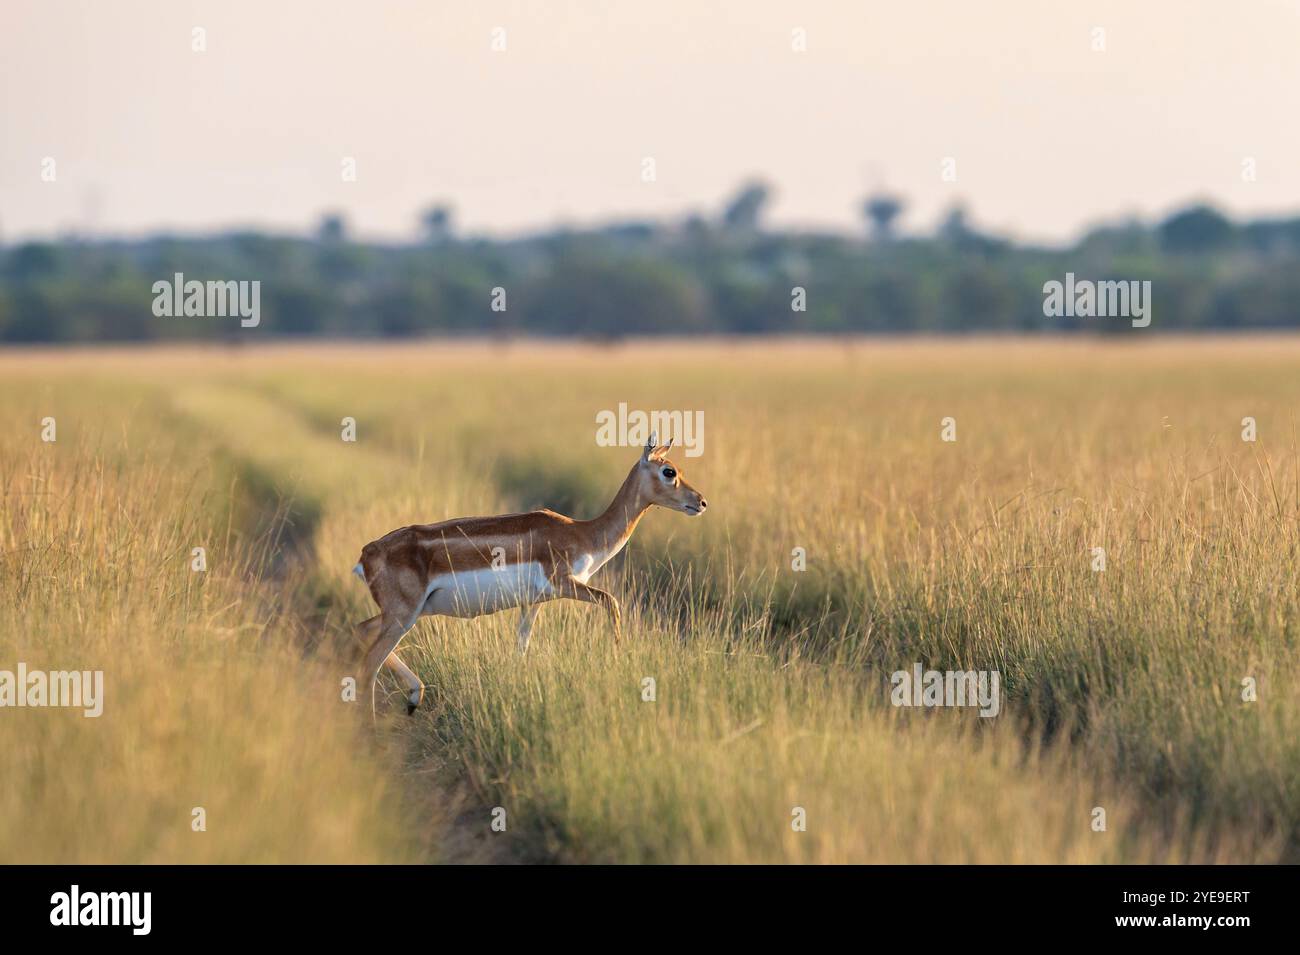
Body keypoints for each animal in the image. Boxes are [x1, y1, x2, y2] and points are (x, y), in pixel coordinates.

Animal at [351, 435, 708, 718]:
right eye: (669, 471)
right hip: (404, 615)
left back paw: (414, 698)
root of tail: (366, 554)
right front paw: (619, 656)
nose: (701, 502)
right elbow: (612, 601)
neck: (582, 533)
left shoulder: (534, 602)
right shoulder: (566, 584)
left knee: (362, 630)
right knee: (369, 665)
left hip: (408, 613)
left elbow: (521, 647)